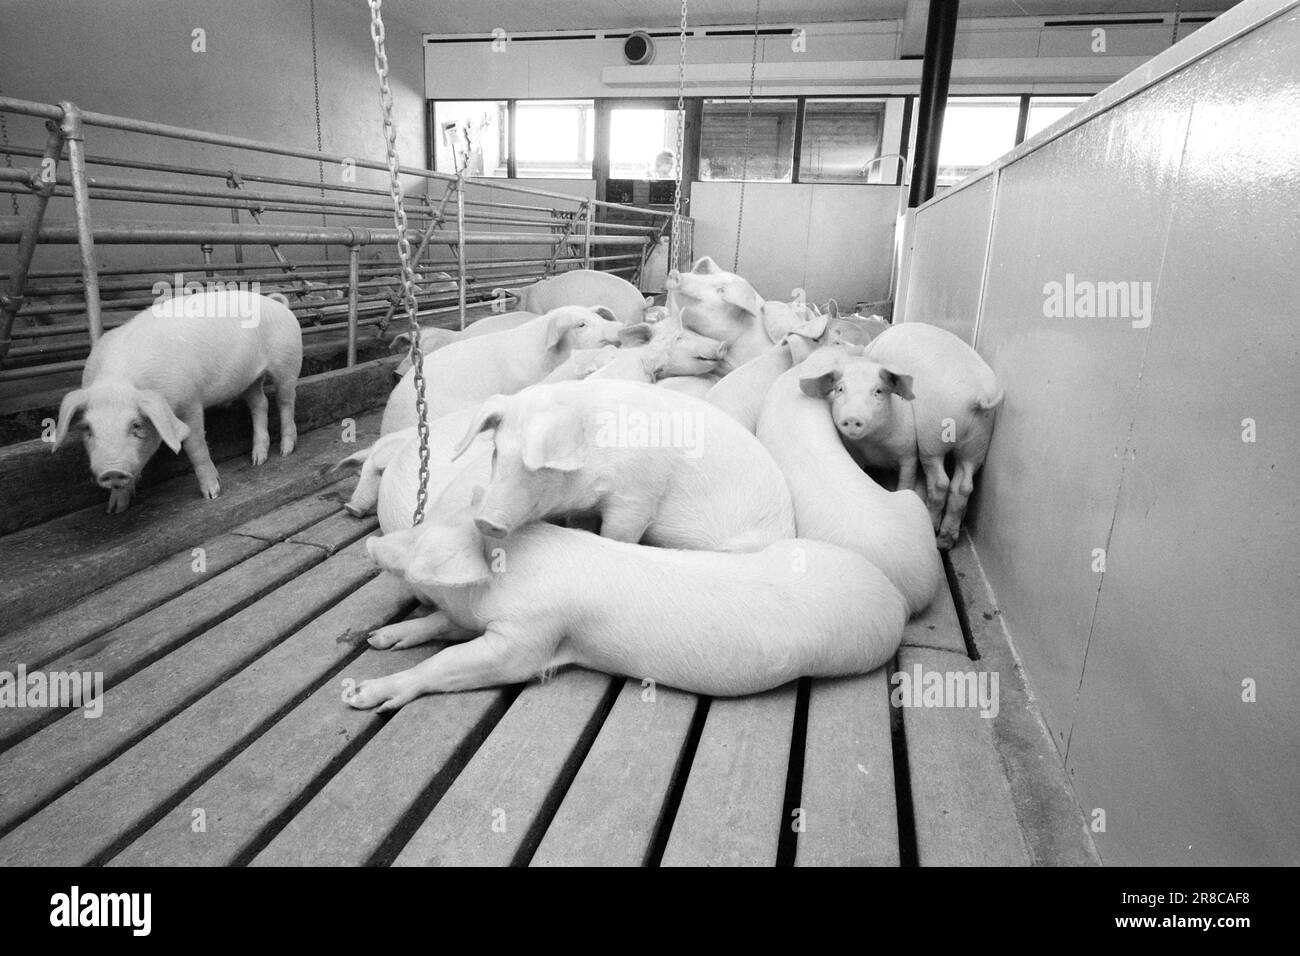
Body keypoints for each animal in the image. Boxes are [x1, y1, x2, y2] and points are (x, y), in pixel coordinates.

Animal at [53, 289, 302, 512]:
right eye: (87, 428)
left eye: (137, 425)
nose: (111, 471)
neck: (118, 379)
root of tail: (278, 303)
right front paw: (115, 510)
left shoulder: (190, 401)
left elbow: (195, 446)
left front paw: (212, 494)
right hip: (249, 380)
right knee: (260, 404)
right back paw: (257, 460)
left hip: (287, 363)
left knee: (285, 402)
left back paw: (285, 451)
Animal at [346, 519, 906, 708]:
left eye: (423, 535)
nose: (372, 542)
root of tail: (894, 598)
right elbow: (440, 624)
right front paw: (378, 640)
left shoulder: (528, 638)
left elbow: (453, 661)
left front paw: (359, 697)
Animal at [454, 379, 796, 552]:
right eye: (497, 451)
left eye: (541, 466)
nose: (485, 521)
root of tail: (788, 528)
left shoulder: (637, 496)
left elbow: (618, 533)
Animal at [860, 322, 1004, 548]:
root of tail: (978, 396)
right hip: (978, 442)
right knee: (964, 485)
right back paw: (944, 541)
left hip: (932, 438)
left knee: (940, 482)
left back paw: (931, 524)